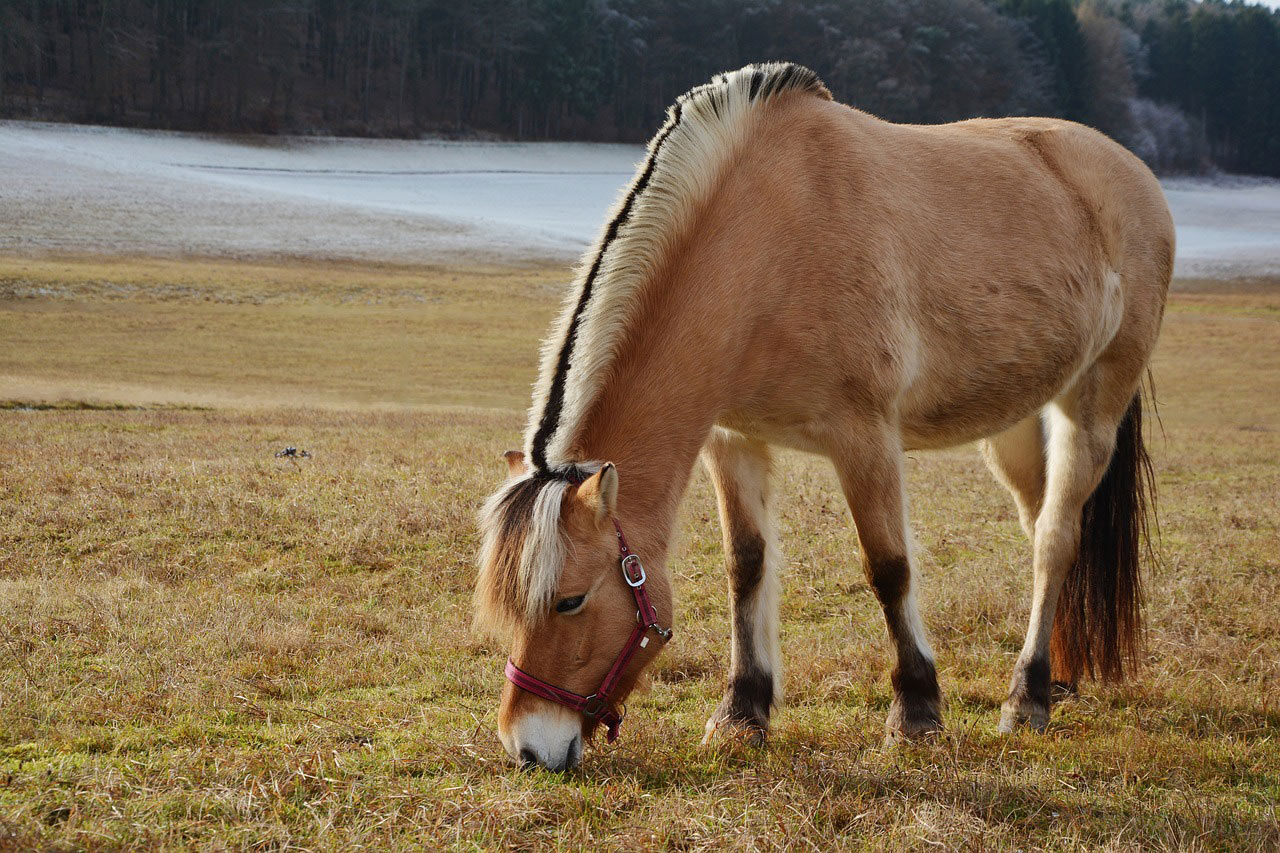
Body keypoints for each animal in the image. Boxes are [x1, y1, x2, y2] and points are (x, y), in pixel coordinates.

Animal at [475, 62, 1172, 771]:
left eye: (570, 600)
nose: (528, 746)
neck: (770, 240)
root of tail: (1130, 172)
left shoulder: (864, 437)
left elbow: (888, 568)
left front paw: (915, 714)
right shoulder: (734, 439)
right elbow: (746, 567)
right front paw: (742, 712)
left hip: (1091, 406)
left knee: (1056, 540)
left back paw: (1025, 699)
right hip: (1016, 426)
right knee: (1042, 529)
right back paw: (1057, 677)